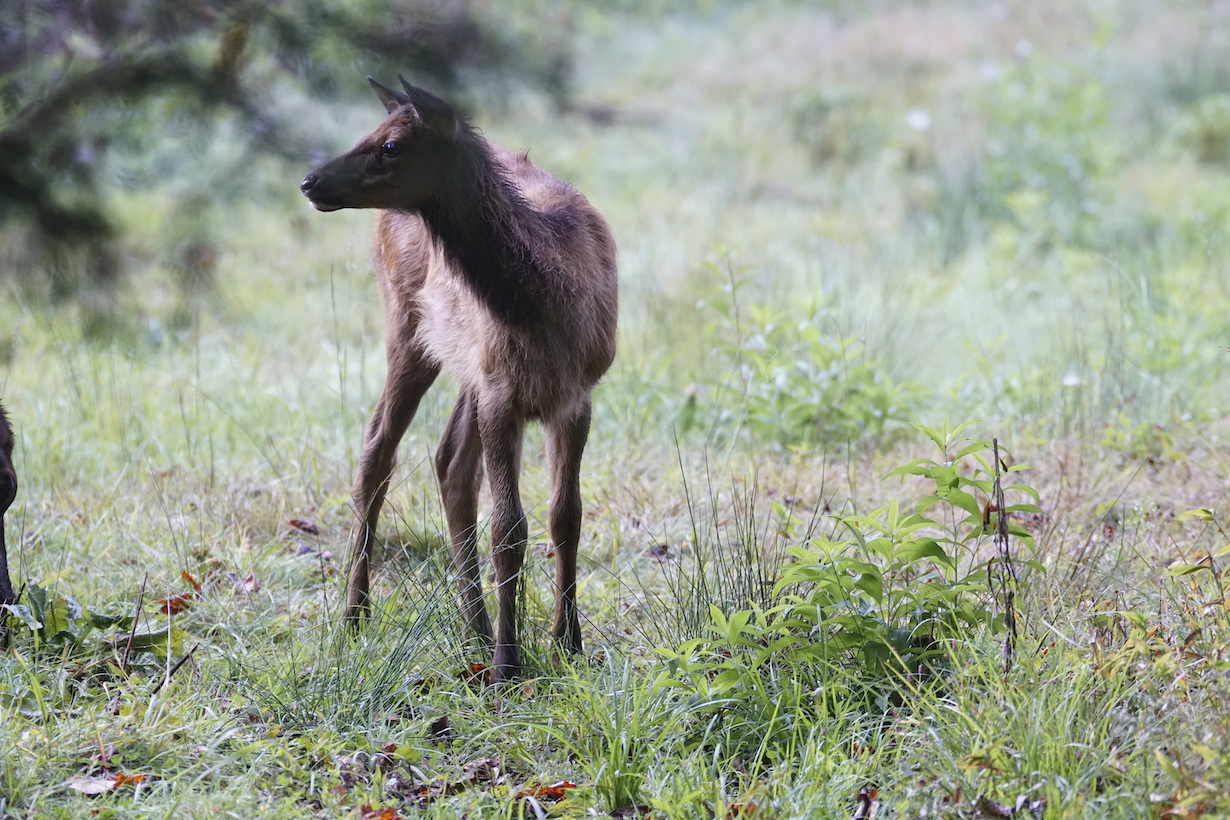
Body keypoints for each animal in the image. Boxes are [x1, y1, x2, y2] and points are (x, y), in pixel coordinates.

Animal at [299, 77, 618, 681]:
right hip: (408, 323)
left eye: (391, 145)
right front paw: (509, 662)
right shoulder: (500, 392)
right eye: (372, 132)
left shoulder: (576, 393)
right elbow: (510, 528)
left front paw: (568, 644)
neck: (545, 306)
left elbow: (566, 515)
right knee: (378, 448)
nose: (310, 181)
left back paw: (473, 627)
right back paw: (355, 615)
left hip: (465, 360)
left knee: (449, 459)